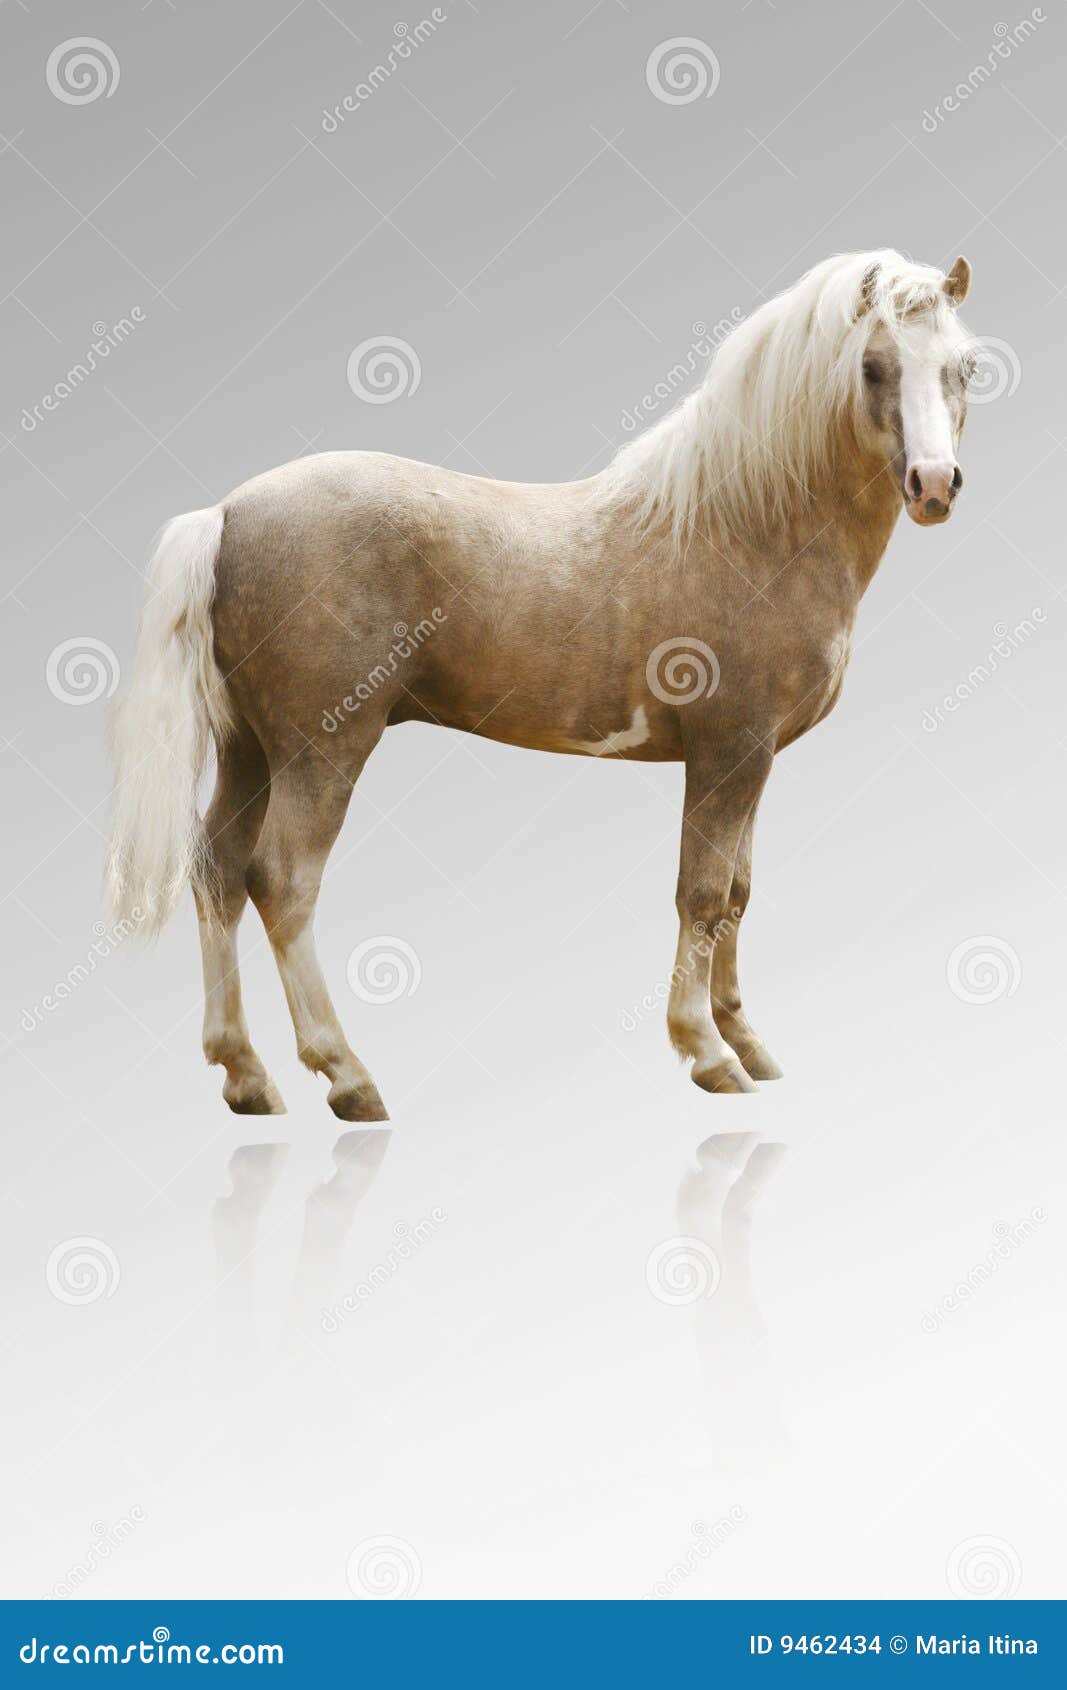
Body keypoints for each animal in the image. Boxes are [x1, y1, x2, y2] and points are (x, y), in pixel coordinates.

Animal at [107, 248, 976, 1119]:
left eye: (964, 366)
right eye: (871, 366)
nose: (934, 485)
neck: (746, 526)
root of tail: (226, 513)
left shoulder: (755, 760)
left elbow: (735, 893)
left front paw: (747, 1042)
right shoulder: (727, 751)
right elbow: (699, 895)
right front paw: (706, 1052)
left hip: (250, 750)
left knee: (217, 873)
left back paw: (246, 1074)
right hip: (321, 752)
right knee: (281, 881)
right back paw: (346, 1076)